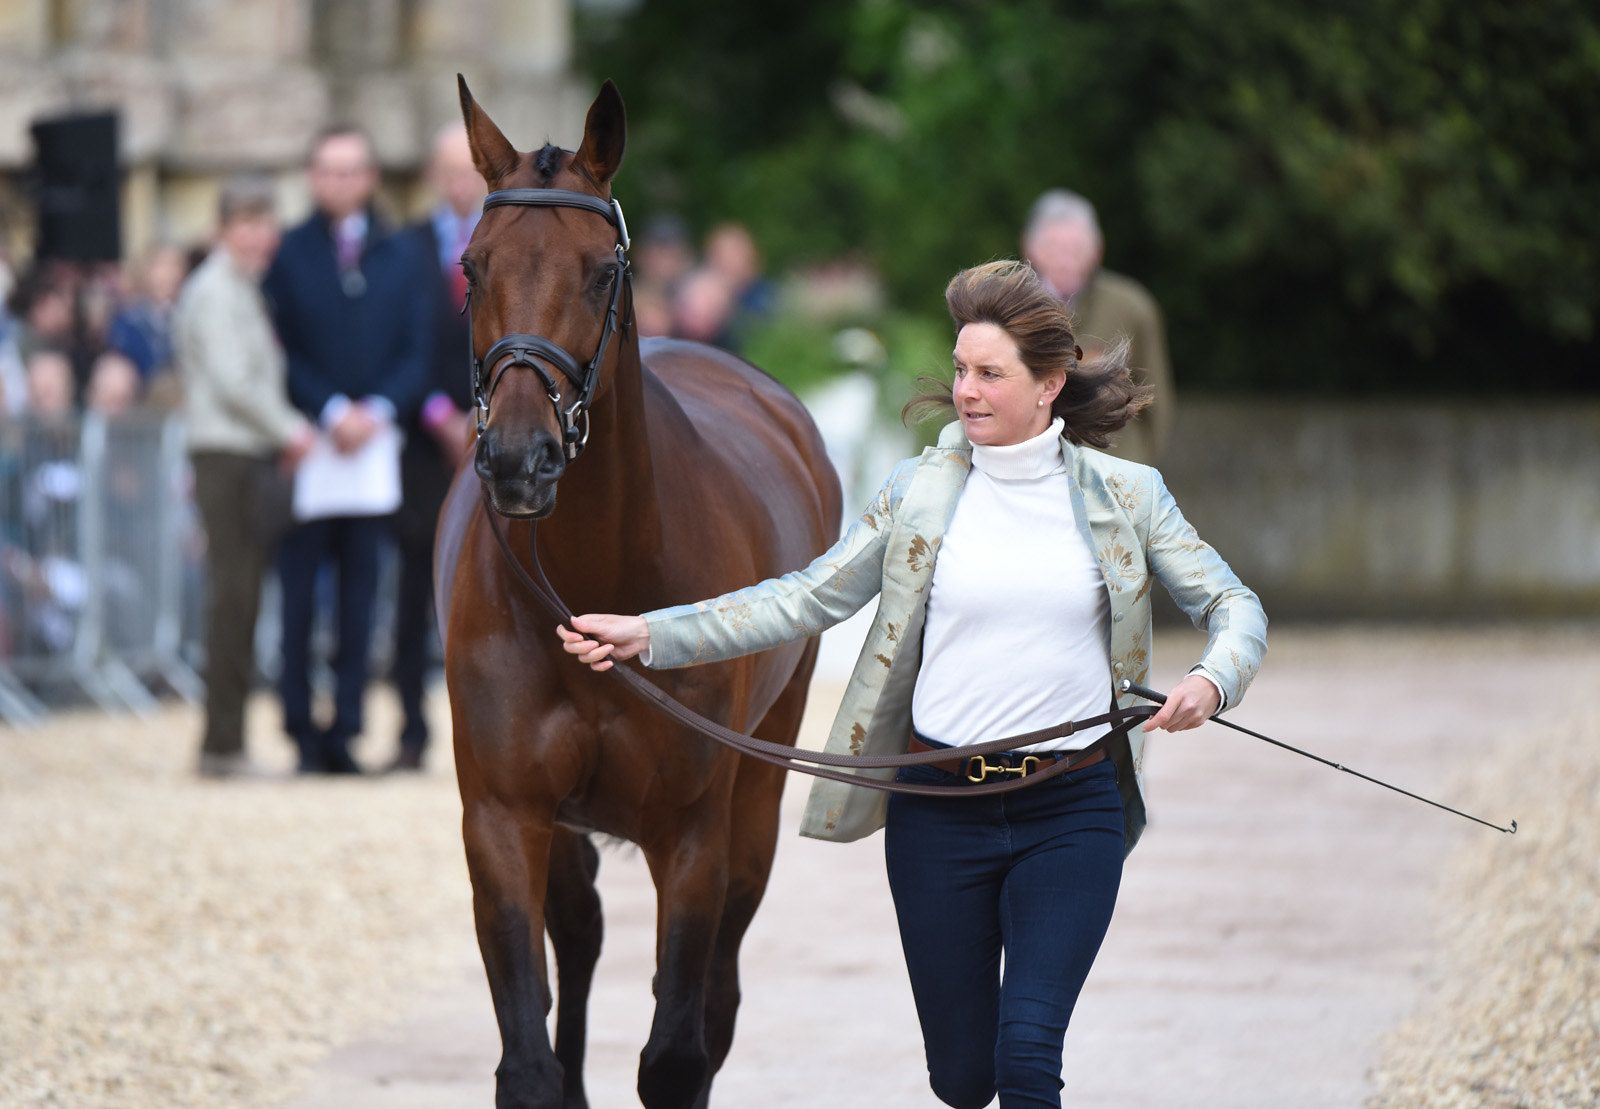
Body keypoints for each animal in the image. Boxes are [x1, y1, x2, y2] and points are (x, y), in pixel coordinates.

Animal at [434, 76, 842, 1109]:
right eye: (472, 268)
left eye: (598, 272)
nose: (520, 459)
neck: (591, 586)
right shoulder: (504, 819)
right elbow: (528, 1057)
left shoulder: (690, 835)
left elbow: (677, 1054)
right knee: (580, 937)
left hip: (755, 797)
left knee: (718, 998)